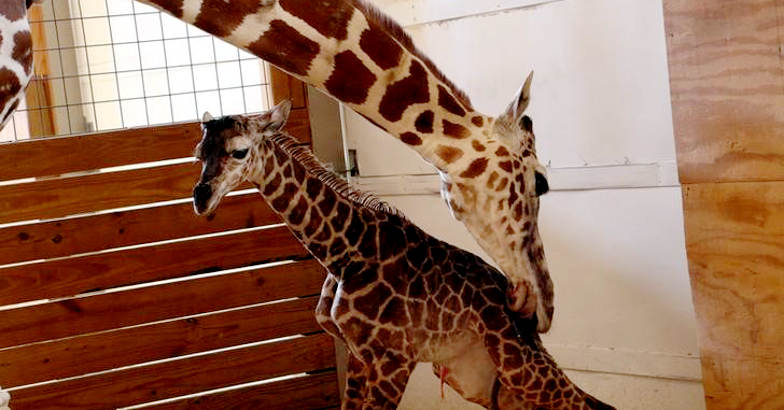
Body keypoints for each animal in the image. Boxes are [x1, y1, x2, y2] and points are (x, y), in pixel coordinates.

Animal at [192, 101, 613, 410]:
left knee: (585, 403)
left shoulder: (394, 359)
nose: (201, 199)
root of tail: (526, 318)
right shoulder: (359, 355)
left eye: (239, 151)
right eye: (199, 154)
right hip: (477, 377)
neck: (343, 254)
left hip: (515, 363)